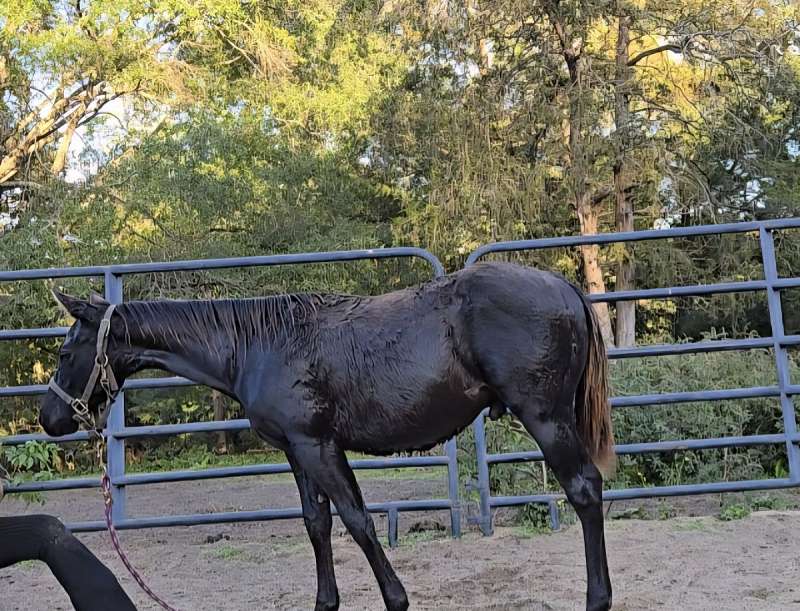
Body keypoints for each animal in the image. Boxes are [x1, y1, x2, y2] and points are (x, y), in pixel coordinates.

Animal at [39, 261, 615, 611]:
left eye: (65, 352)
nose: (50, 419)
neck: (258, 344)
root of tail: (563, 287)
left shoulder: (319, 446)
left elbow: (358, 522)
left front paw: (396, 599)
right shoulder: (298, 452)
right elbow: (317, 525)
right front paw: (326, 601)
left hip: (546, 418)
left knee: (585, 491)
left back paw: (598, 598)